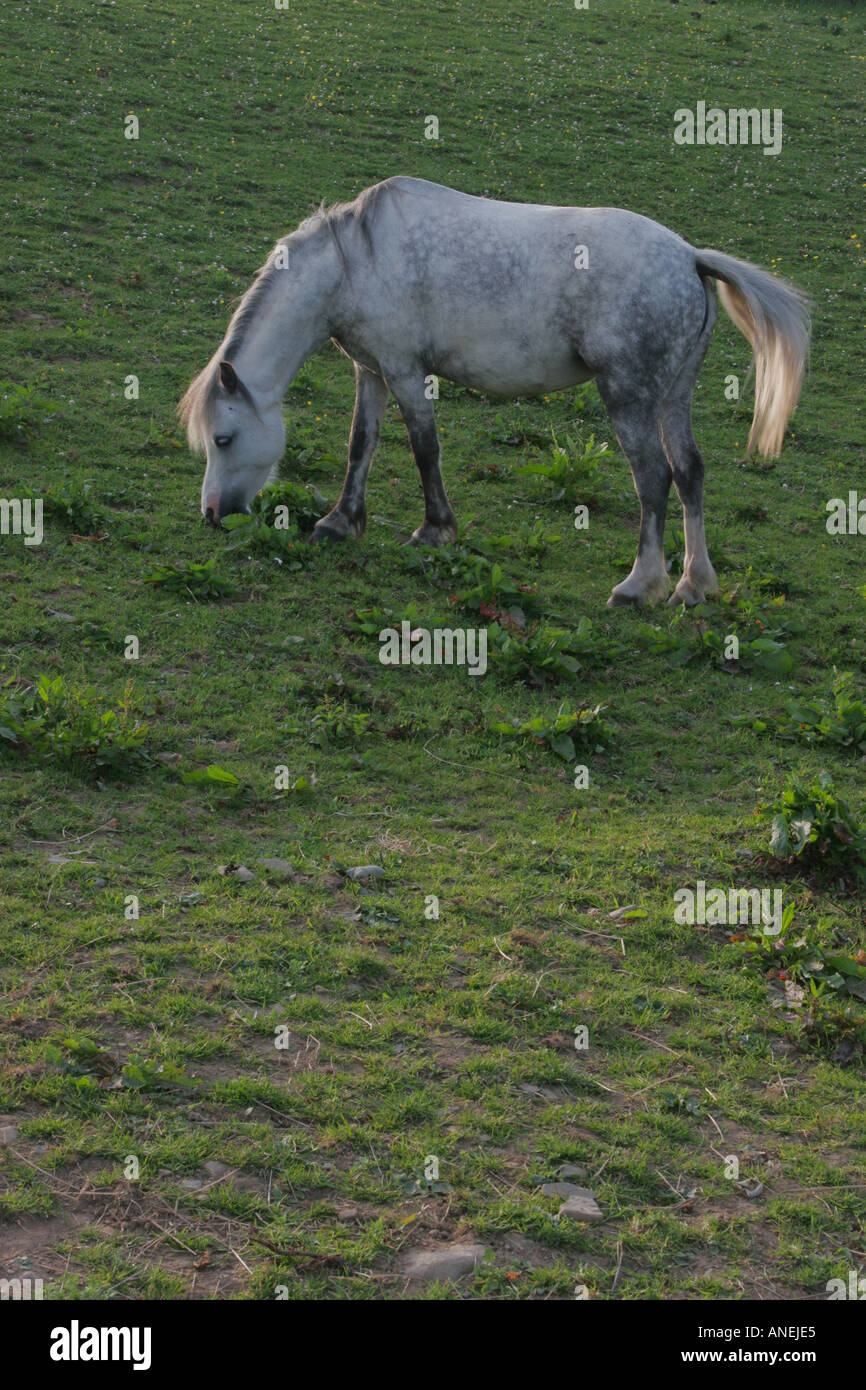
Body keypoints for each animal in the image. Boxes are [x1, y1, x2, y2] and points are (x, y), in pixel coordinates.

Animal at [179, 176, 810, 607]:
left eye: (224, 437)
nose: (212, 514)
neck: (355, 262)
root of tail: (689, 258)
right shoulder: (373, 371)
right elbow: (362, 444)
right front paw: (341, 521)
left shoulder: (405, 372)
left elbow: (423, 448)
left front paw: (434, 530)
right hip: (672, 398)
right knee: (689, 473)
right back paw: (692, 585)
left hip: (630, 398)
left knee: (654, 479)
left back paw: (639, 584)